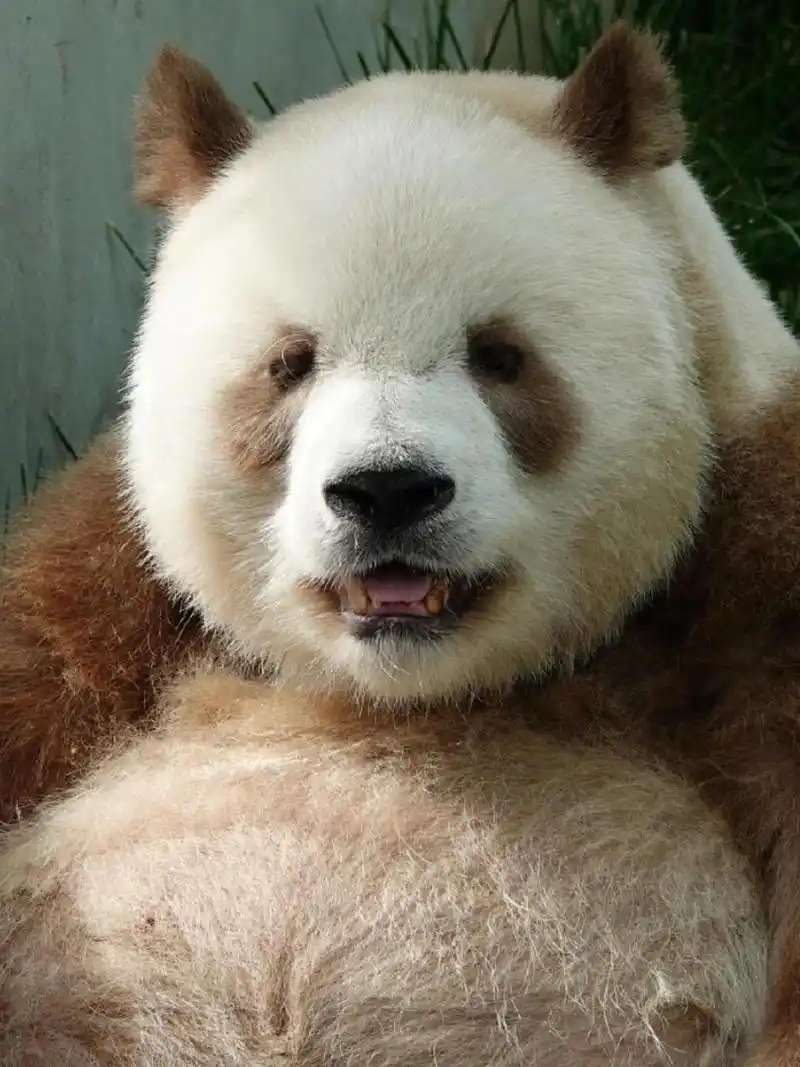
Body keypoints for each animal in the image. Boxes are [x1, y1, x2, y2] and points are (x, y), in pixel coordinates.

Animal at [1, 21, 799, 1066]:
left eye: (500, 354)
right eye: (290, 363)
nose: (386, 491)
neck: (404, 691)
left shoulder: (756, 568)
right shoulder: (99, 585)